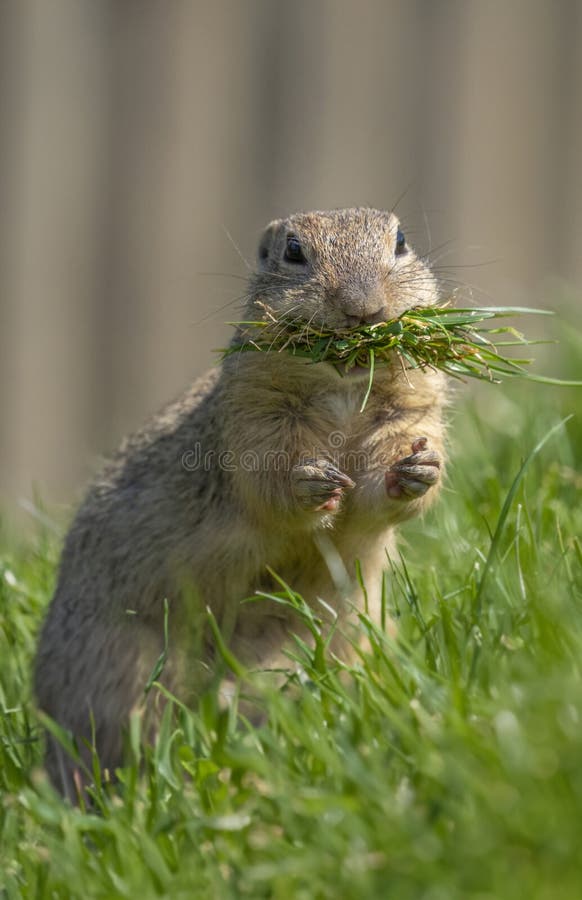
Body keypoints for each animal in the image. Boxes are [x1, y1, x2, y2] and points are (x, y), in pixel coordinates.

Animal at [34, 207, 446, 799]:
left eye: (402, 242)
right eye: (293, 251)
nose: (363, 309)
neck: (344, 387)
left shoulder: (411, 407)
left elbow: (382, 489)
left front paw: (419, 469)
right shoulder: (252, 418)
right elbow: (268, 479)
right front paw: (309, 480)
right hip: (119, 669)